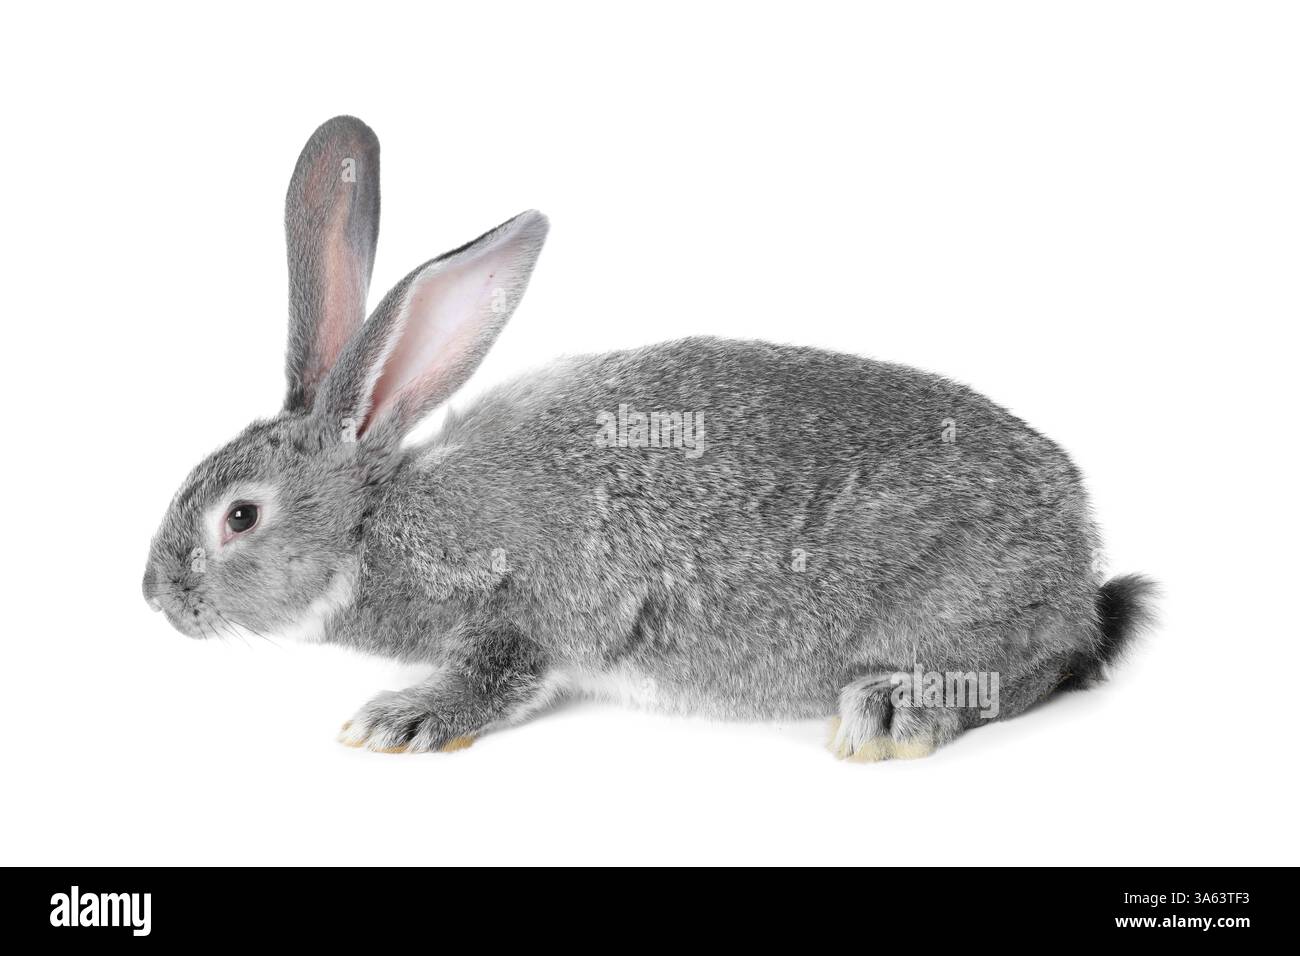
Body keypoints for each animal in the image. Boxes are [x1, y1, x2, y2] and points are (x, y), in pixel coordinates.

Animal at [143, 115, 1155, 761]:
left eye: (240, 516)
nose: (155, 598)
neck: (375, 523)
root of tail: (1078, 559)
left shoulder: (529, 608)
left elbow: (497, 672)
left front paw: (399, 720)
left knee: (1033, 669)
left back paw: (894, 710)